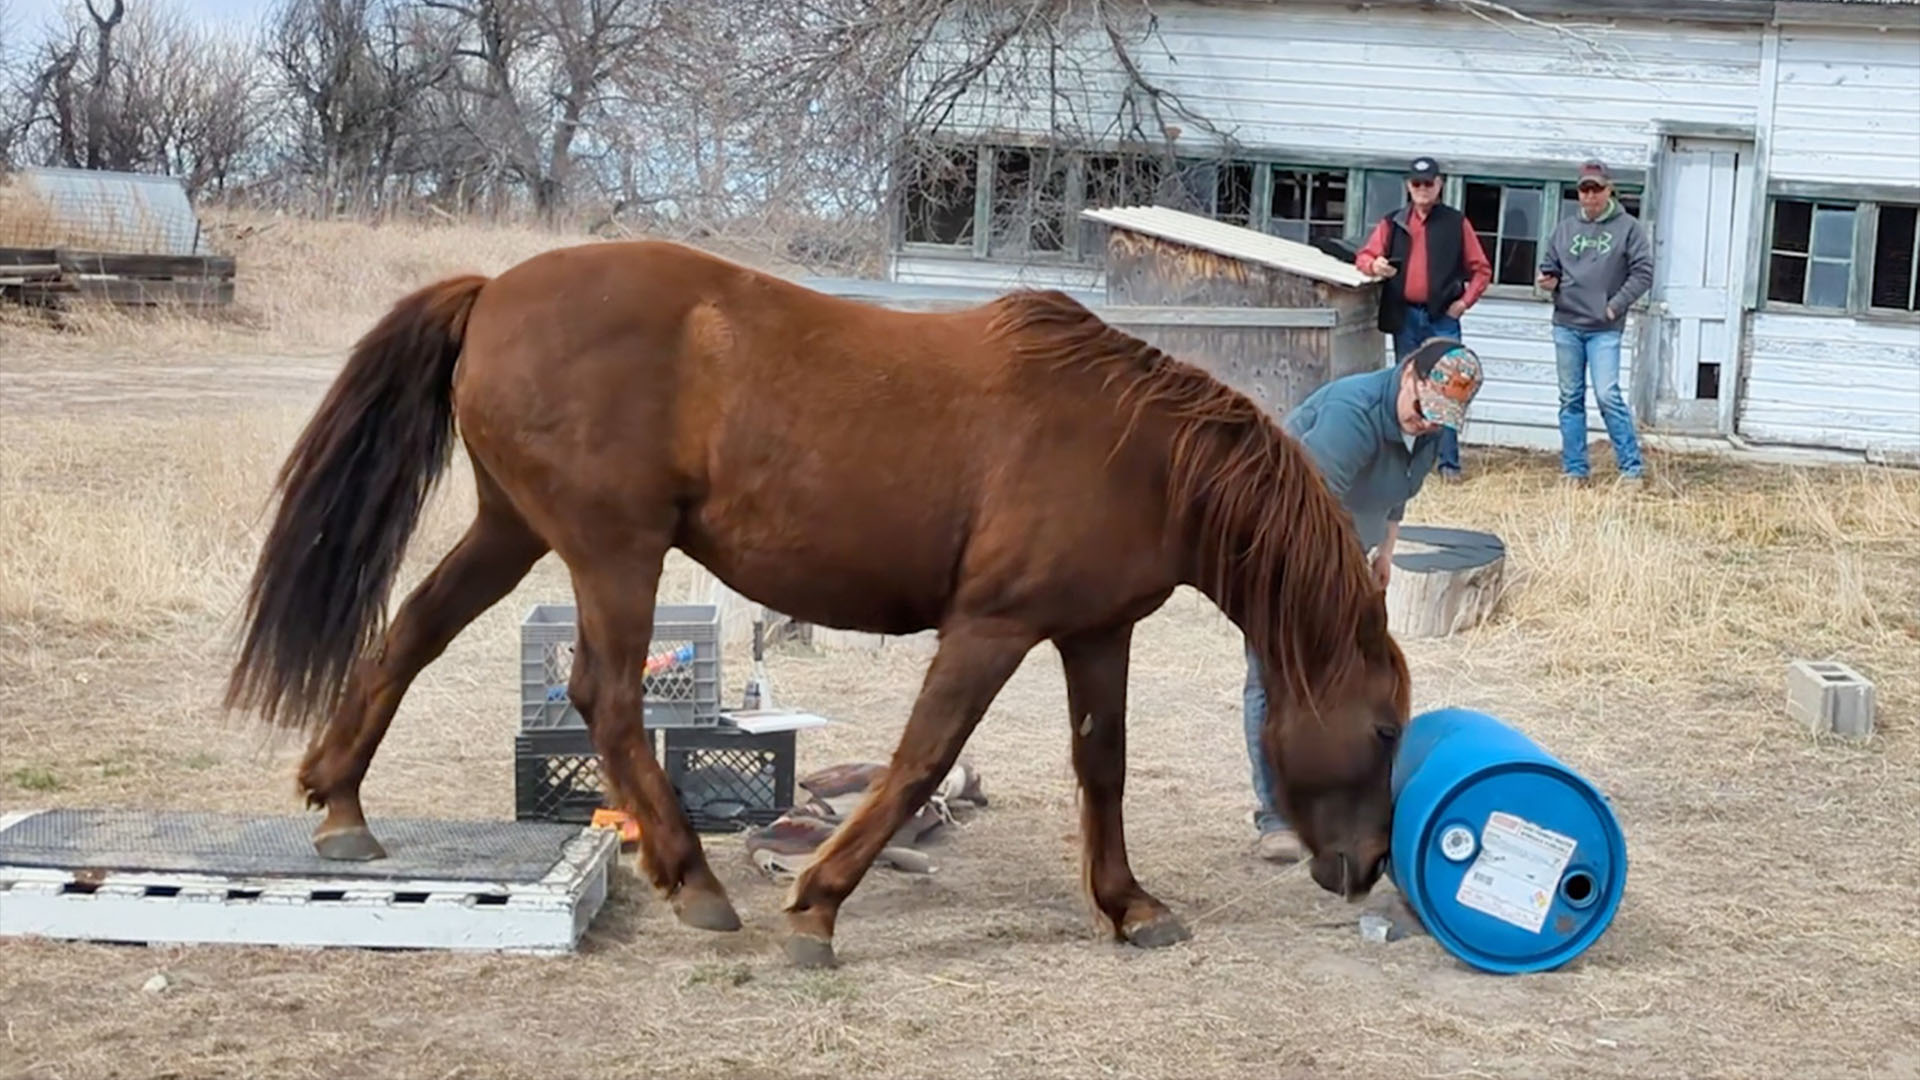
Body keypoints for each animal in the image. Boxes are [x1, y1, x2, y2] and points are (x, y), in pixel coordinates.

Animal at [222, 238, 1412, 969]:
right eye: (1388, 728)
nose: (1366, 871)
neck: (1135, 448)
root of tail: (495, 292)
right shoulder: (991, 628)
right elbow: (922, 759)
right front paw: (820, 904)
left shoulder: (1093, 631)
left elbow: (1101, 766)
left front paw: (1130, 905)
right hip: (614, 552)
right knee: (606, 698)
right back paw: (693, 878)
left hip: (511, 531)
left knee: (412, 633)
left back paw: (343, 807)